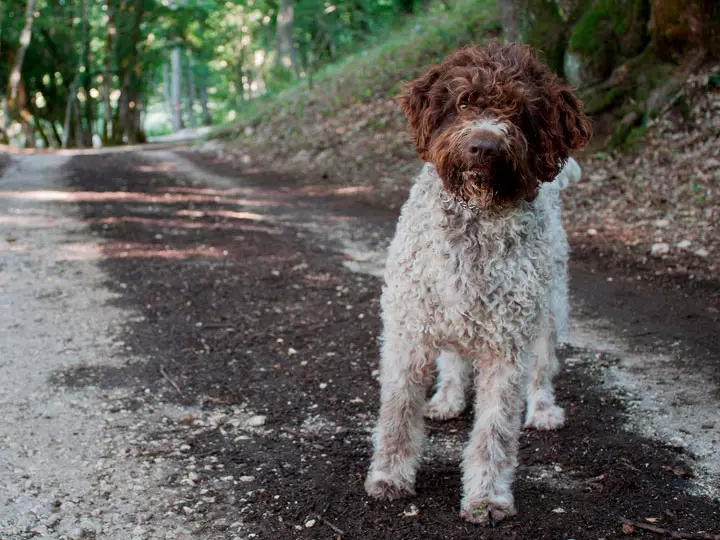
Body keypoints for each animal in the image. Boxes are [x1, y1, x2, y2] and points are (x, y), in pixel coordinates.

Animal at [366, 42, 592, 524]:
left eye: (521, 111)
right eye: (464, 102)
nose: (484, 146)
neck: (474, 223)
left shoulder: (506, 348)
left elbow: (495, 431)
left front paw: (487, 496)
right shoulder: (408, 332)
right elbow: (398, 413)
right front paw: (390, 477)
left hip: (550, 311)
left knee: (543, 368)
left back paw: (543, 408)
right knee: (453, 358)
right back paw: (448, 397)